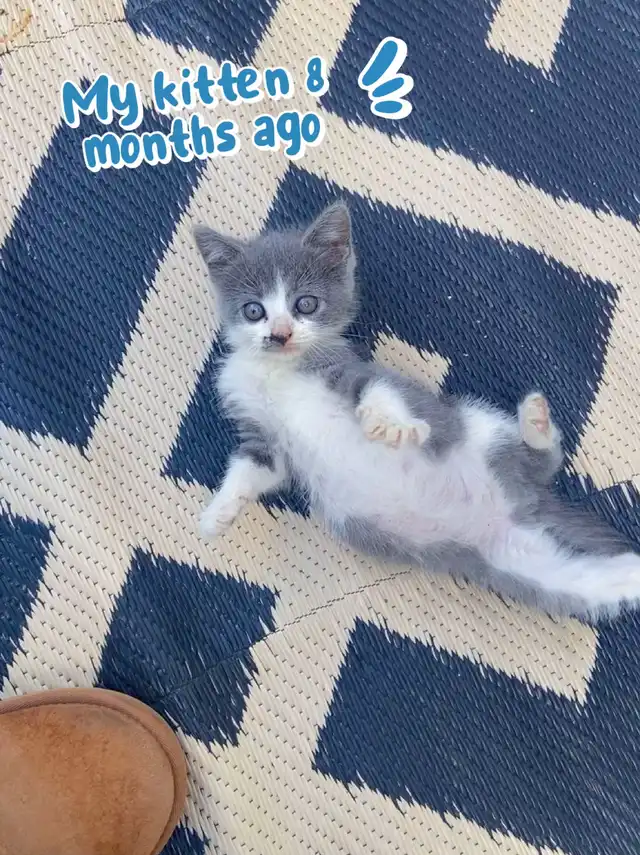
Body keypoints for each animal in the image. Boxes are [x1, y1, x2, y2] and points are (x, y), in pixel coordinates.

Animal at [193, 201, 640, 623]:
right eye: (254, 311)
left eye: (305, 304)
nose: (280, 334)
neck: (278, 371)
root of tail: (521, 499)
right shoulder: (261, 432)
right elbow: (253, 468)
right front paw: (218, 514)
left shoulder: (350, 370)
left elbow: (380, 391)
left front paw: (391, 426)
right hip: (518, 562)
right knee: (575, 582)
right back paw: (628, 577)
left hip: (482, 427)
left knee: (543, 458)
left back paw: (536, 422)